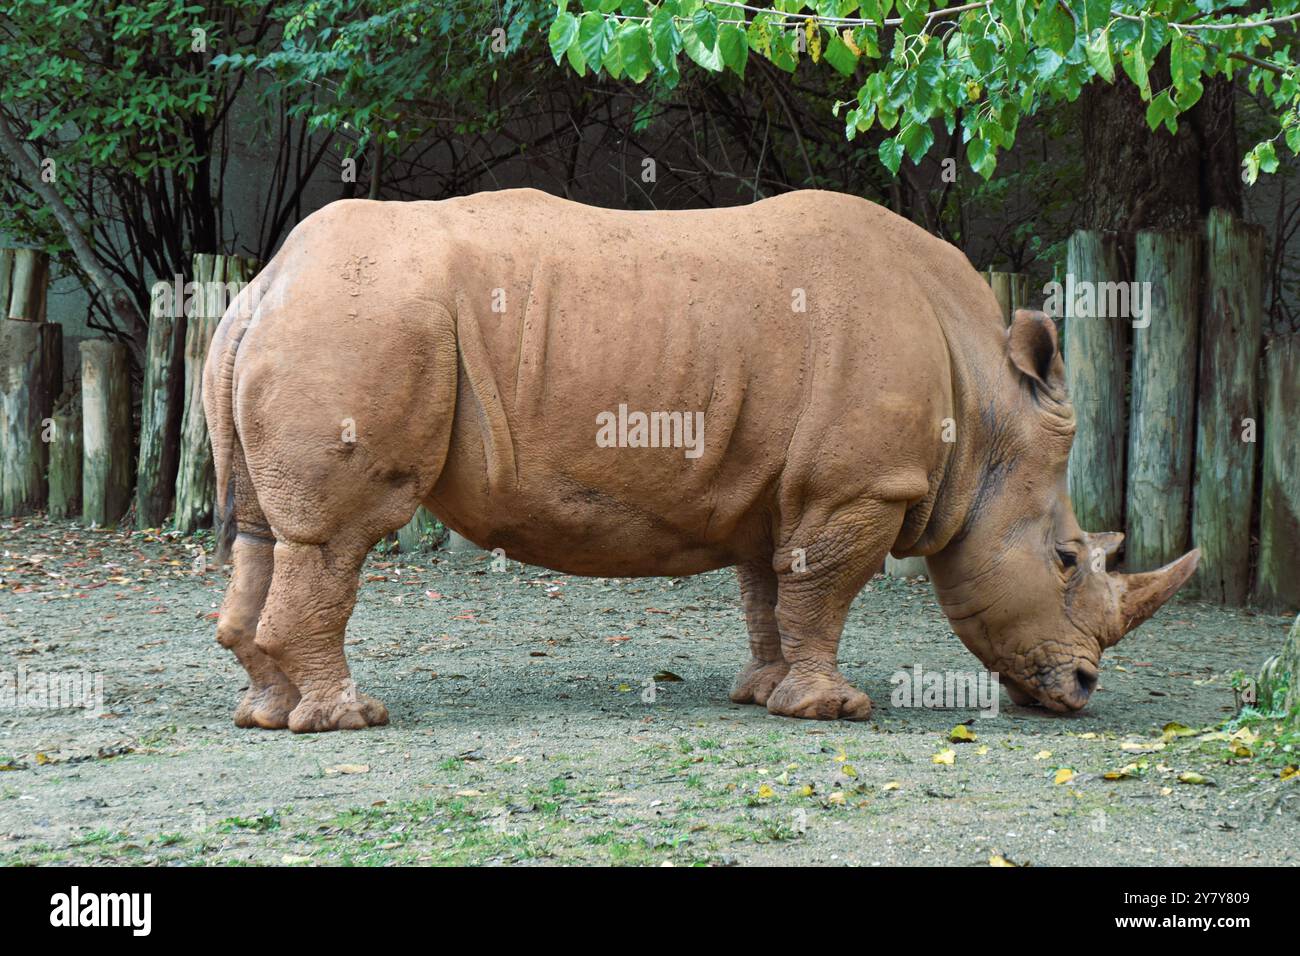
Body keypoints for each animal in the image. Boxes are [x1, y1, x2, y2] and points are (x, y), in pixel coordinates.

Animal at [204, 188, 1198, 732]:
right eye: (1066, 560)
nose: (1082, 689)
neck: (987, 408)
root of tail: (268, 279)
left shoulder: (783, 488)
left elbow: (772, 590)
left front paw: (761, 694)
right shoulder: (857, 487)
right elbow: (825, 589)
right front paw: (832, 710)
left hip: (297, 323)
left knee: (261, 530)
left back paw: (266, 713)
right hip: (362, 322)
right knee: (337, 537)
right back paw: (347, 719)